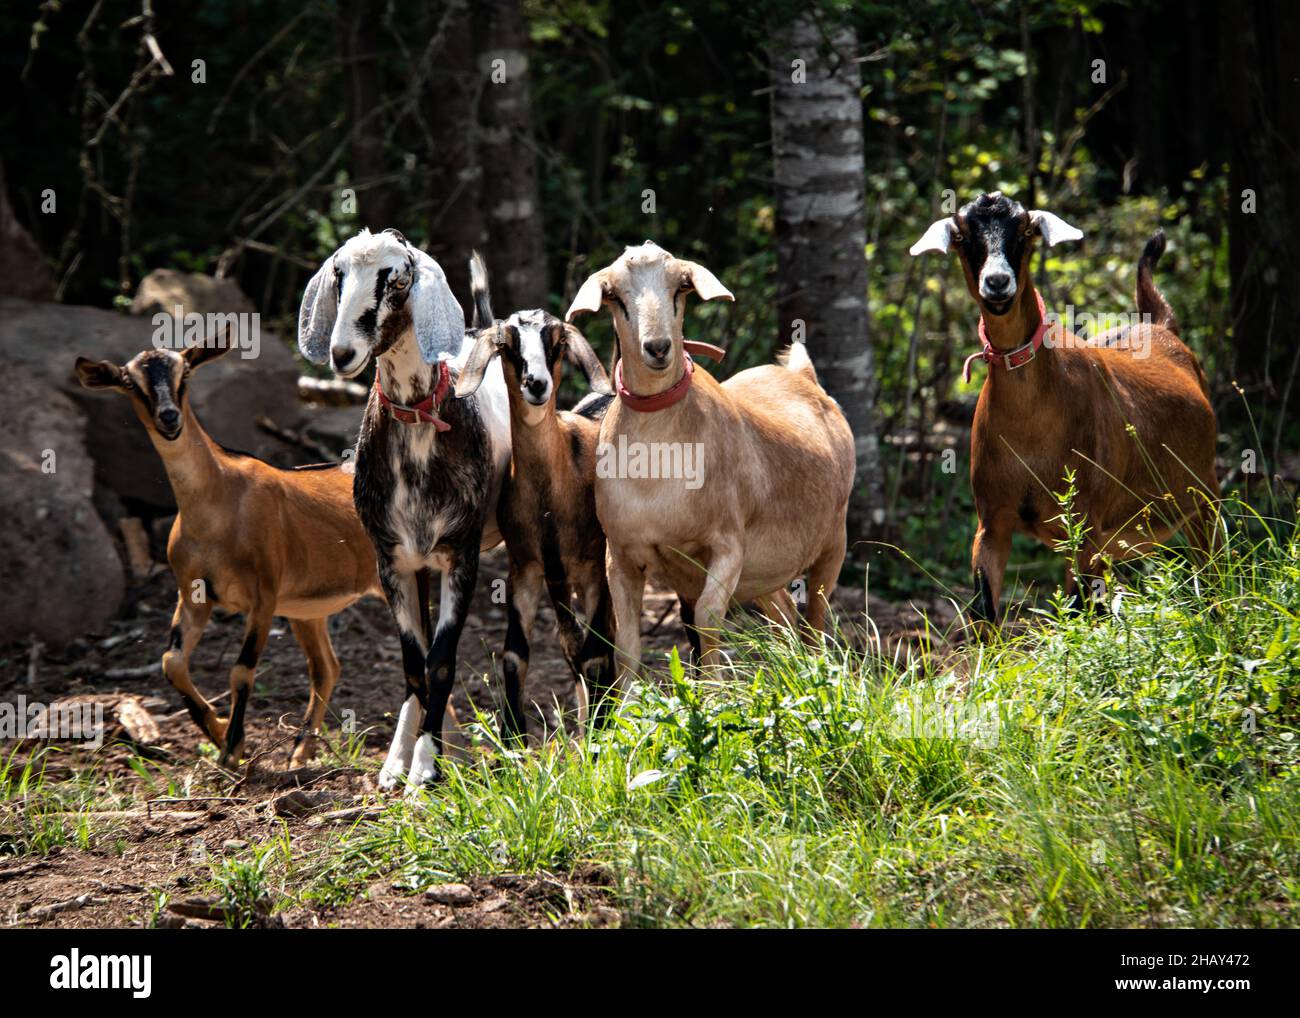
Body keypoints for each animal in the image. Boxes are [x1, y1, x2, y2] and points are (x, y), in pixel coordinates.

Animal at [74, 342, 382, 768]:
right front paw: (218, 731)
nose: (169, 417)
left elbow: (241, 671)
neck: (218, 508)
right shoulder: (193, 596)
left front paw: (233, 749)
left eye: (184, 373)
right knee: (326, 667)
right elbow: (172, 663)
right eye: (131, 383)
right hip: (306, 610)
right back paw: (299, 753)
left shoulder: (263, 597)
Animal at [297, 228, 510, 790]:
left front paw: (427, 766)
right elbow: (415, 662)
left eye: (396, 279)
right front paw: (399, 762)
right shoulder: (391, 560)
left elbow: (441, 661)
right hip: (417, 565)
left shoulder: (461, 557)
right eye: (338, 274)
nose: (342, 352)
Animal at [455, 263, 618, 736]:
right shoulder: (526, 569)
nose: (537, 383)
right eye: (508, 345)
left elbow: (592, 652)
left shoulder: (592, 568)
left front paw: (601, 733)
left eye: (557, 342)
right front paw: (512, 735)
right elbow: (517, 653)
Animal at [566, 241, 855, 692]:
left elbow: (707, 622)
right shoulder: (622, 554)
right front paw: (630, 707)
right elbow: (627, 645)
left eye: (680, 287)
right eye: (614, 295)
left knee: (815, 625)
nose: (658, 347)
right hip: (766, 569)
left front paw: (718, 696)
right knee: (785, 615)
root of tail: (803, 376)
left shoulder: (727, 546)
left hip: (832, 544)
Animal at [909, 191, 1219, 626]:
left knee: (1216, 579)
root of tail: (1162, 326)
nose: (997, 282)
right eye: (964, 235)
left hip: (1203, 497)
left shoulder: (1085, 524)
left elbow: (1076, 616)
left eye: (1024, 230)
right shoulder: (992, 521)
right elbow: (985, 613)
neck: (1030, 424)